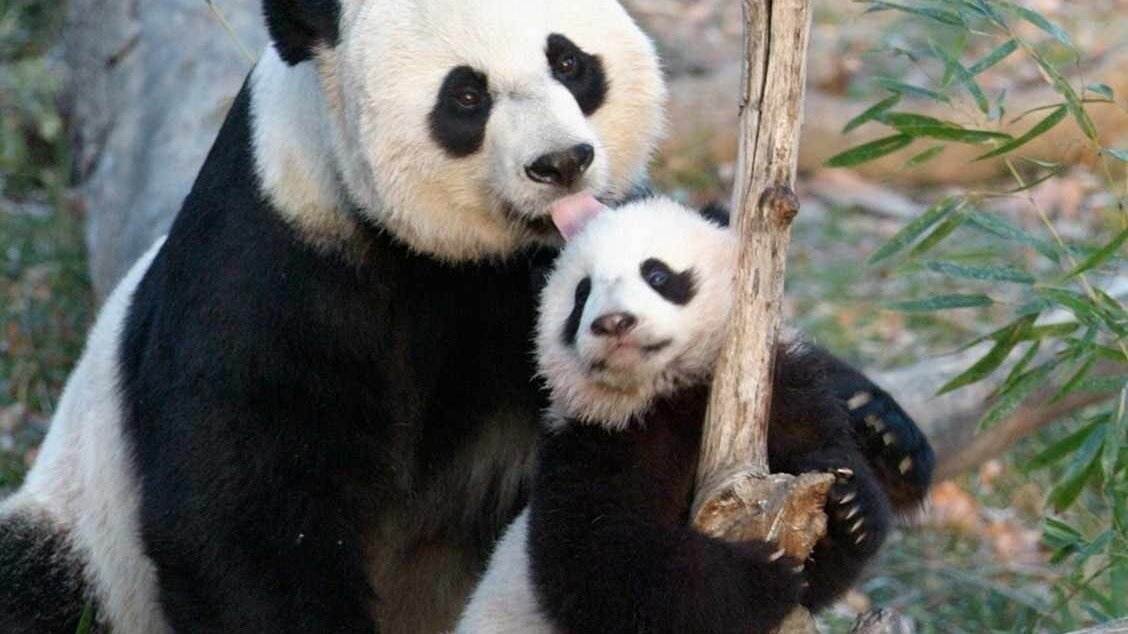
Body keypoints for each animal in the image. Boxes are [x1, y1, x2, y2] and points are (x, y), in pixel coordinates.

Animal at [455, 198, 931, 634]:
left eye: (657, 275)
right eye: (581, 294)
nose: (613, 322)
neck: (670, 391)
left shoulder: (779, 392)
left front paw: (849, 506)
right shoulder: (596, 443)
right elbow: (602, 569)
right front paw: (760, 576)